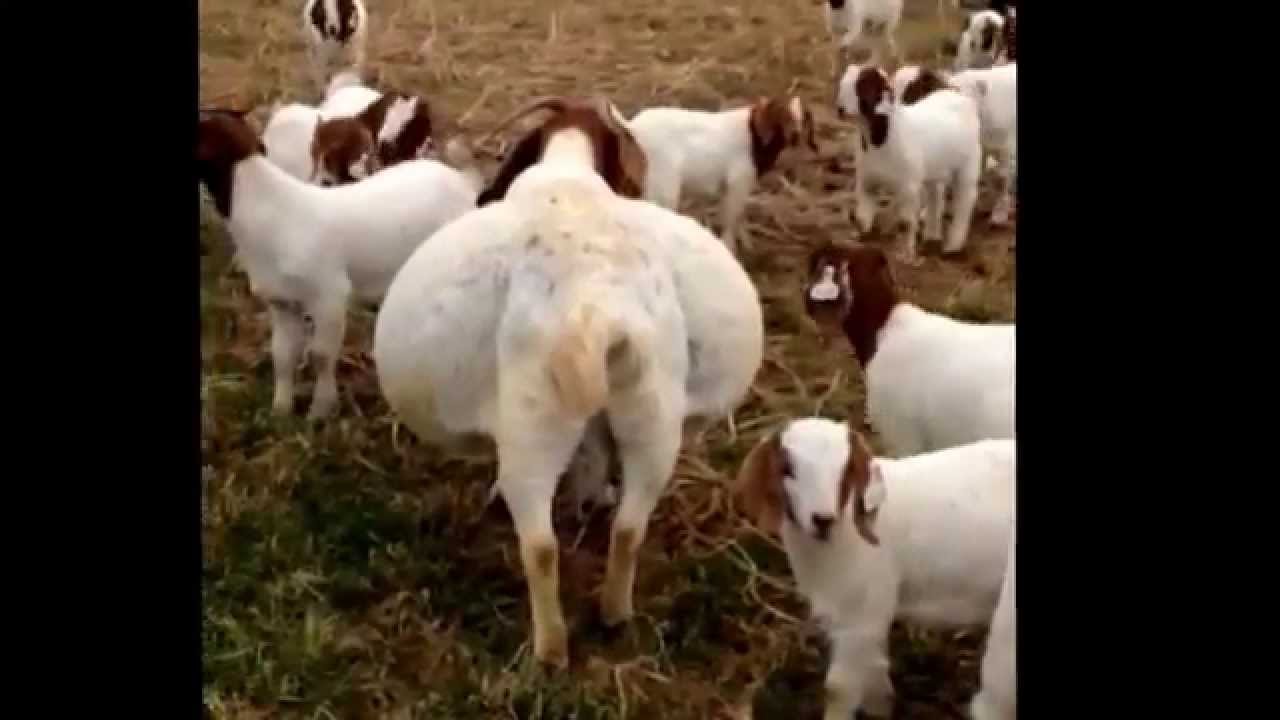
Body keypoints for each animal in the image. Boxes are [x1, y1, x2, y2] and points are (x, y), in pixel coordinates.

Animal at [196, 109, 479, 419]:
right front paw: (280, 411)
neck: (273, 213)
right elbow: (282, 354)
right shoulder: (281, 301)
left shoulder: (329, 295)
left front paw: (320, 411)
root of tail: (462, 181)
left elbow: (320, 355)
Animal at [372, 96, 764, 667]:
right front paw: (591, 495)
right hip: (652, 417)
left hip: (533, 421)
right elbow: (596, 454)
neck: (568, 178)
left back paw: (551, 649)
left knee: (539, 545)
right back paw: (613, 613)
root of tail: (595, 309)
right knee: (629, 528)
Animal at [626, 97, 818, 255]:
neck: (753, 139)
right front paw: (731, 250)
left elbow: (738, 215)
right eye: (782, 115)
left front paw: (747, 245)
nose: (795, 134)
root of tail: (633, 127)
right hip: (663, 184)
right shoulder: (737, 182)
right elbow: (730, 218)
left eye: (803, 117)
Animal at [737, 416, 1014, 720]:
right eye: (787, 468)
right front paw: (881, 707)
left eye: (846, 469)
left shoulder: (862, 613)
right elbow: (875, 673)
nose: (823, 520)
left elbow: (838, 688)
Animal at [836, 65, 982, 261]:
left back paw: (953, 245)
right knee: (936, 196)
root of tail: (953, 93)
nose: (840, 109)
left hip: (969, 164)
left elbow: (905, 223)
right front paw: (860, 242)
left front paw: (905, 256)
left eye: (862, 85)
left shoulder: (909, 186)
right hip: (933, 170)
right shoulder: (867, 181)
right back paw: (931, 236)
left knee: (965, 201)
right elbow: (862, 219)